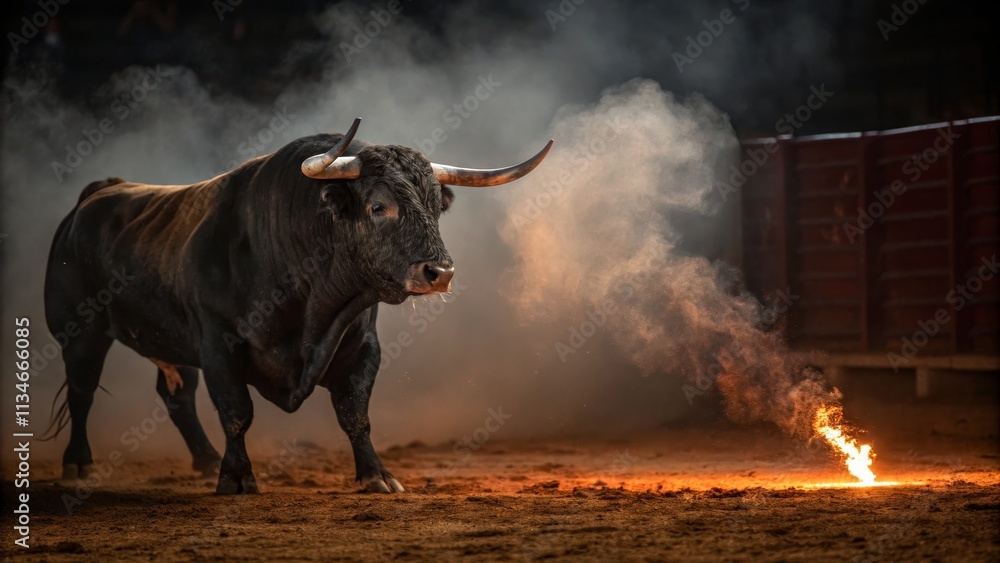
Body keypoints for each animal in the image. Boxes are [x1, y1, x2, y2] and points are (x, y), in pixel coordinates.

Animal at [42, 118, 552, 494]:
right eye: (378, 207)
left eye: (435, 206)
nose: (440, 272)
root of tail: (102, 192)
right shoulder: (218, 345)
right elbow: (236, 412)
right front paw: (237, 479)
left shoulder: (361, 345)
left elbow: (355, 412)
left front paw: (376, 476)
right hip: (81, 333)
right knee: (83, 391)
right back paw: (80, 464)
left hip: (169, 343)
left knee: (176, 396)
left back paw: (204, 460)